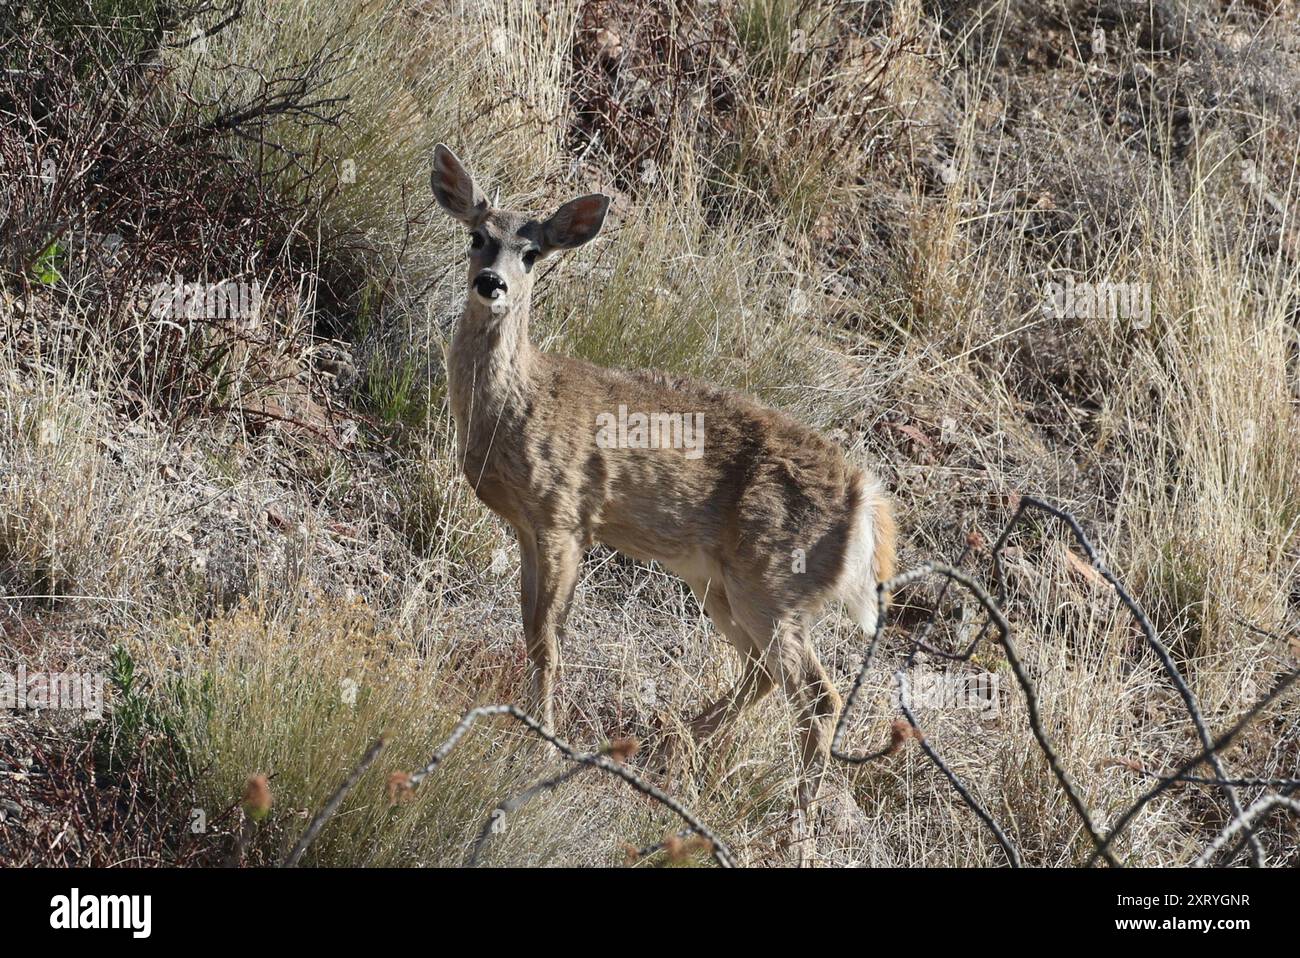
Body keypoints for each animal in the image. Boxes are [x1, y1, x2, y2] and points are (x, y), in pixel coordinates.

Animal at [431, 144, 896, 860]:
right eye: (477, 236)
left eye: (532, 252)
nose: (491, 284)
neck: (521, 401)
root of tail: (864, 501)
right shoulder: (528, 528)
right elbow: (532, 629)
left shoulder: (566, 514)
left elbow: (548, 636)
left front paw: (541, 743)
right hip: (723, 584)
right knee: (766, 674)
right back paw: (666, 741)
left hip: (772, 580)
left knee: (819, 697)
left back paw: (792, 831)